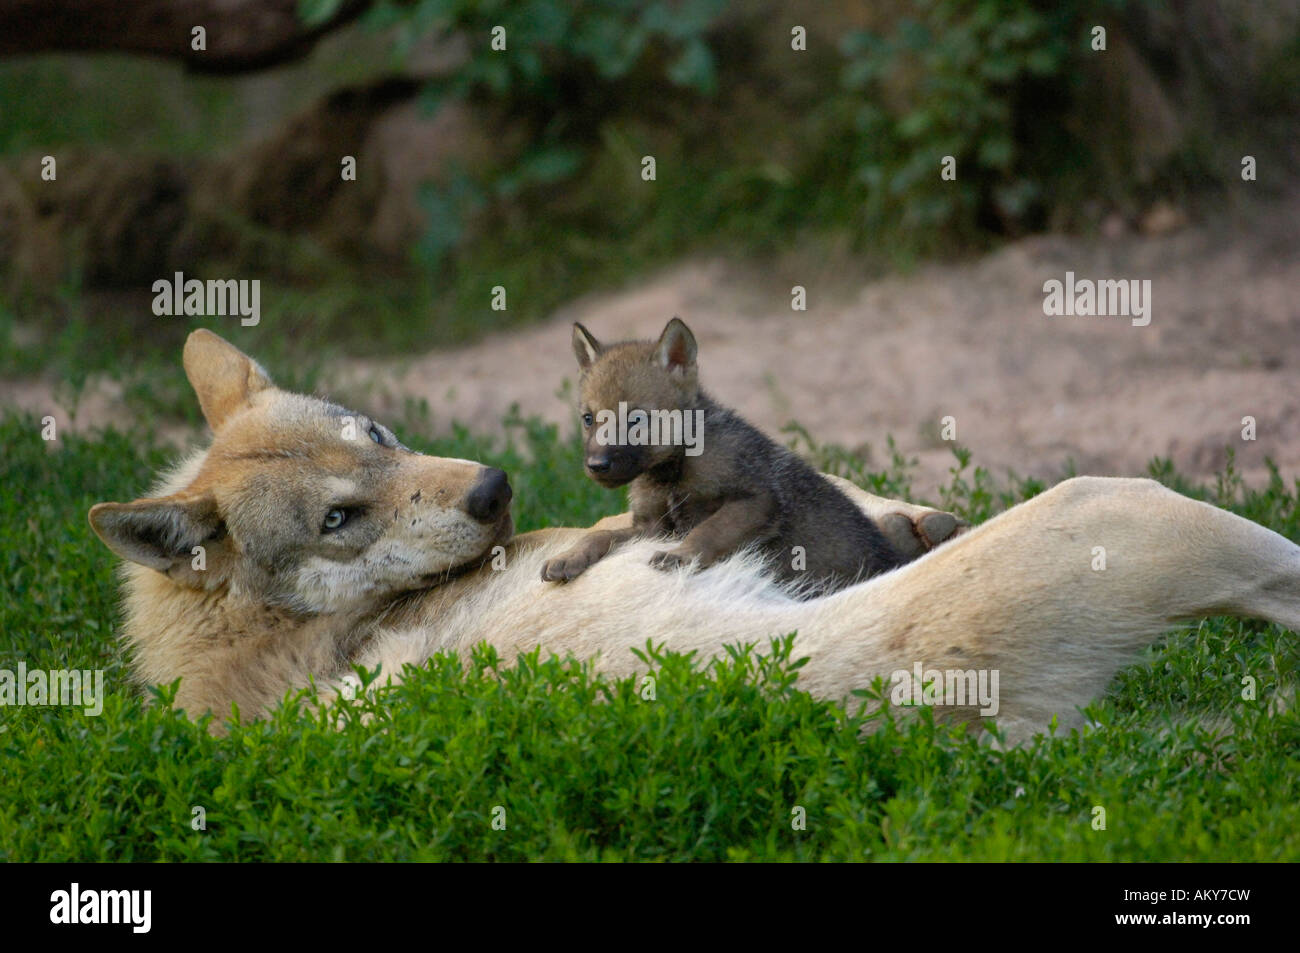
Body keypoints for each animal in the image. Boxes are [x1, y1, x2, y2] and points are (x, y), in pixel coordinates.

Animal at [540, 318, 908, 596]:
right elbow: (599, 534)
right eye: (588, 419)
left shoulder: (755, 500)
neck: (671, 472)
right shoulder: (650, 527)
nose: (596, 466)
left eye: (637, 419)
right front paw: (569, 556)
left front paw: (681, 556)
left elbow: (707, 531)